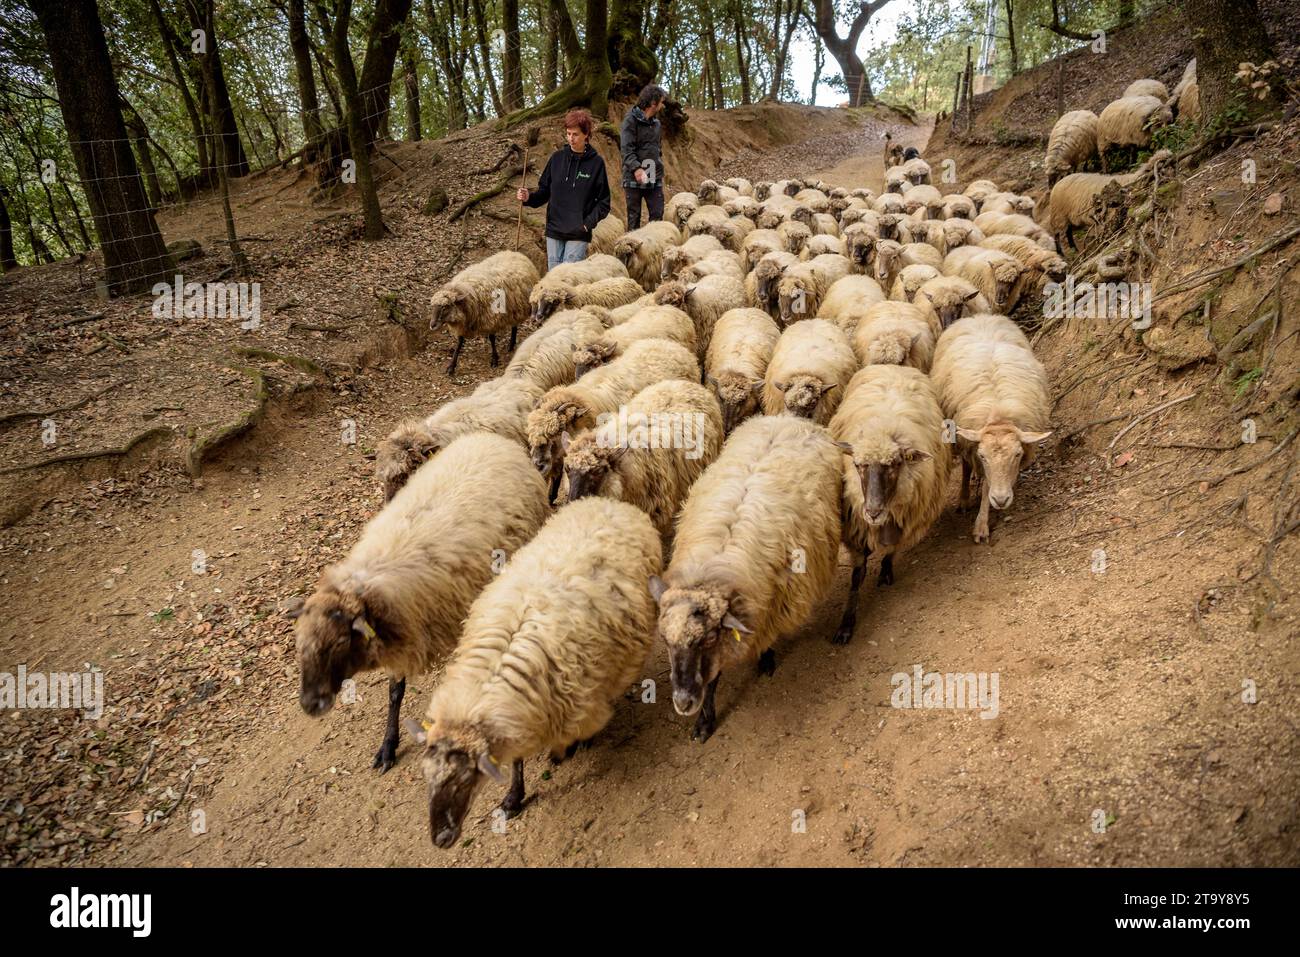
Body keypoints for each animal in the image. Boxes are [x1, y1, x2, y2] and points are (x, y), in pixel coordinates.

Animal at [292, 432, 549, 772]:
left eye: (339, 643)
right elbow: (394, 691)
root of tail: (487, 438)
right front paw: (388, 744)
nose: (310, 705)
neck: (364, 583)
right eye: (299, 645)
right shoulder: (401, 628)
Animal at [416, 496, 660, 846]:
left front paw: (567, 749)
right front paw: (513, 798)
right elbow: (518, 758)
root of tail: (608, 502)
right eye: (426, 779)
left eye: (464, 780)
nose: (442, 838)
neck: (491, 680)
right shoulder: (523, 711)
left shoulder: (571, 702)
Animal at [648, 414, 843, 740]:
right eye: (664, 639)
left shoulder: (772, 604)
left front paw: (765, 660)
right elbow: (712, 677)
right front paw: (703, 720)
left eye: (708, 638)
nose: (683, 702)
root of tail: (785, 417)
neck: (711, 571)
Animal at [827, 364, 952, 642]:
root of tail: (895, 365)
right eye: (858, 465)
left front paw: (885, 571)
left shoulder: (908, 520)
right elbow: (857, 575)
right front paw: (846, 624)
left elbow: (893, 549)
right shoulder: (856, 529)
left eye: (895, 464)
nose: (873, 512)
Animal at [930, 314, 1052, 543]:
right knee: (966, 467)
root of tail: (979, 317)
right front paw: (981, 524)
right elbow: (985, 481)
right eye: (983, 456)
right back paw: (964, 499)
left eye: (1017, 454)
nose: (1001, 499)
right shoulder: (972, 447)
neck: (998, 416)